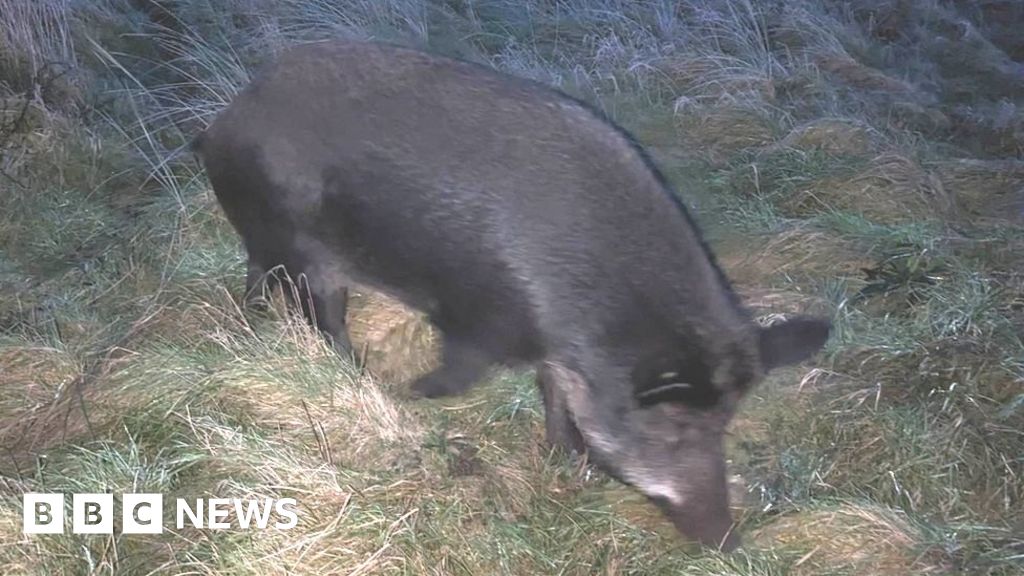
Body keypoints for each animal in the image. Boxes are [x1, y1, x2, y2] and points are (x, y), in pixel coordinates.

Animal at [192, 38, 831, 551]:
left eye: (726, 423)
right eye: (673, 428)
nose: (729, 542)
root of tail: (223, 121)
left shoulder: (552, 350)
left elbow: (555, 397)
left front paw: (566, 458)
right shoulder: (476, 321)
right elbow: (459, 376)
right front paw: (410, 394)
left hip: (267, 241)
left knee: (257, 272)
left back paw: (254, 320)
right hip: (303, 249)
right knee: (318, 317)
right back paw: (354, 372)